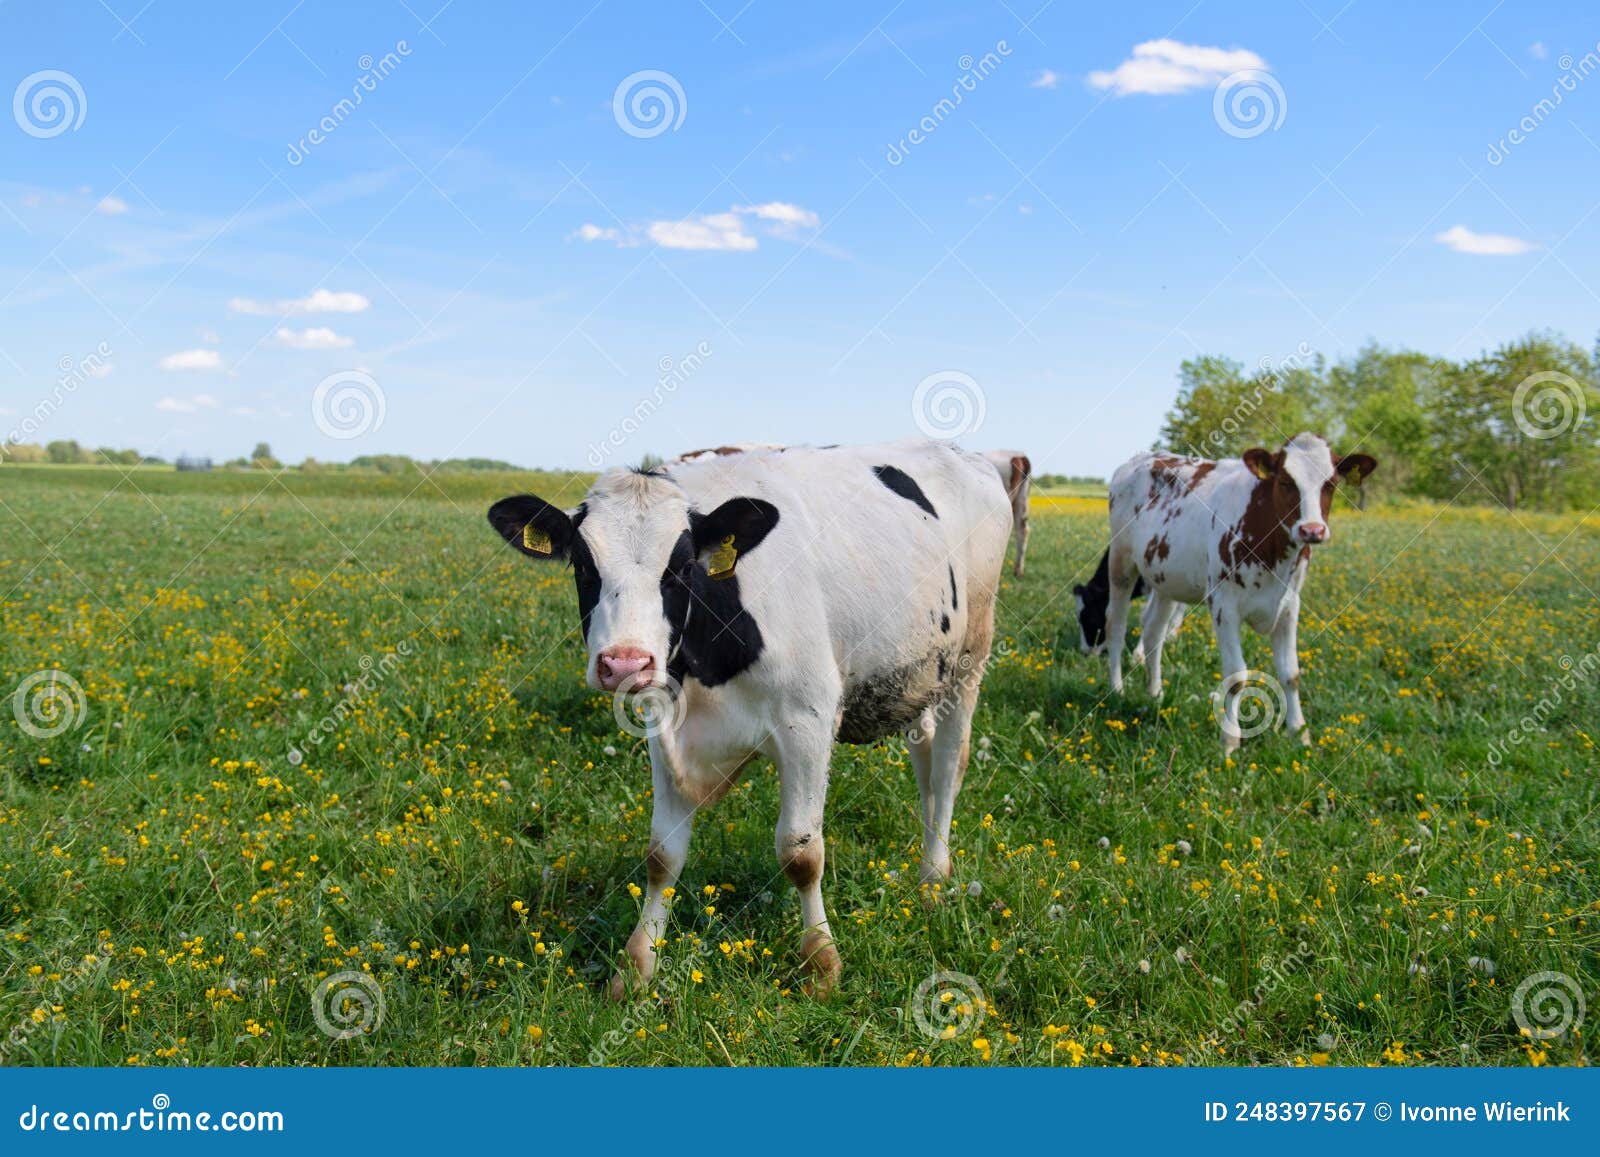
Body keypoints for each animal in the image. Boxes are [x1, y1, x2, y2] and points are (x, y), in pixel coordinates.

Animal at [487, 440, 1012, 998]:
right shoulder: (663, 729)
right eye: (584, 568)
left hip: (969, 656)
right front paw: (637, 965)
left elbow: (801, 853)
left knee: (949, 764)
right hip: (916, 672)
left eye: (680, 569)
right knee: (925, 757)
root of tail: (962, 453)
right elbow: (661, 855)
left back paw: (933, 876)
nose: (626, 662)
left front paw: (821, 964)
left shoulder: (808, 720)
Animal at [1098, 433, 1376, 752]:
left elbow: (1291, 674)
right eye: (1285, 481)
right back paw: (1117, 688)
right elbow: (1236, 675)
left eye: (1330, 483)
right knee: (1116, 626)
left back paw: (1155, 693)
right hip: (1121, 564)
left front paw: (1300, 733)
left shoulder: (1289, 604)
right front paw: (1230, 740)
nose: (1312, 530)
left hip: (1166, 577)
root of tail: (1142, 458)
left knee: (1153, 631)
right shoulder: (1224, 605)